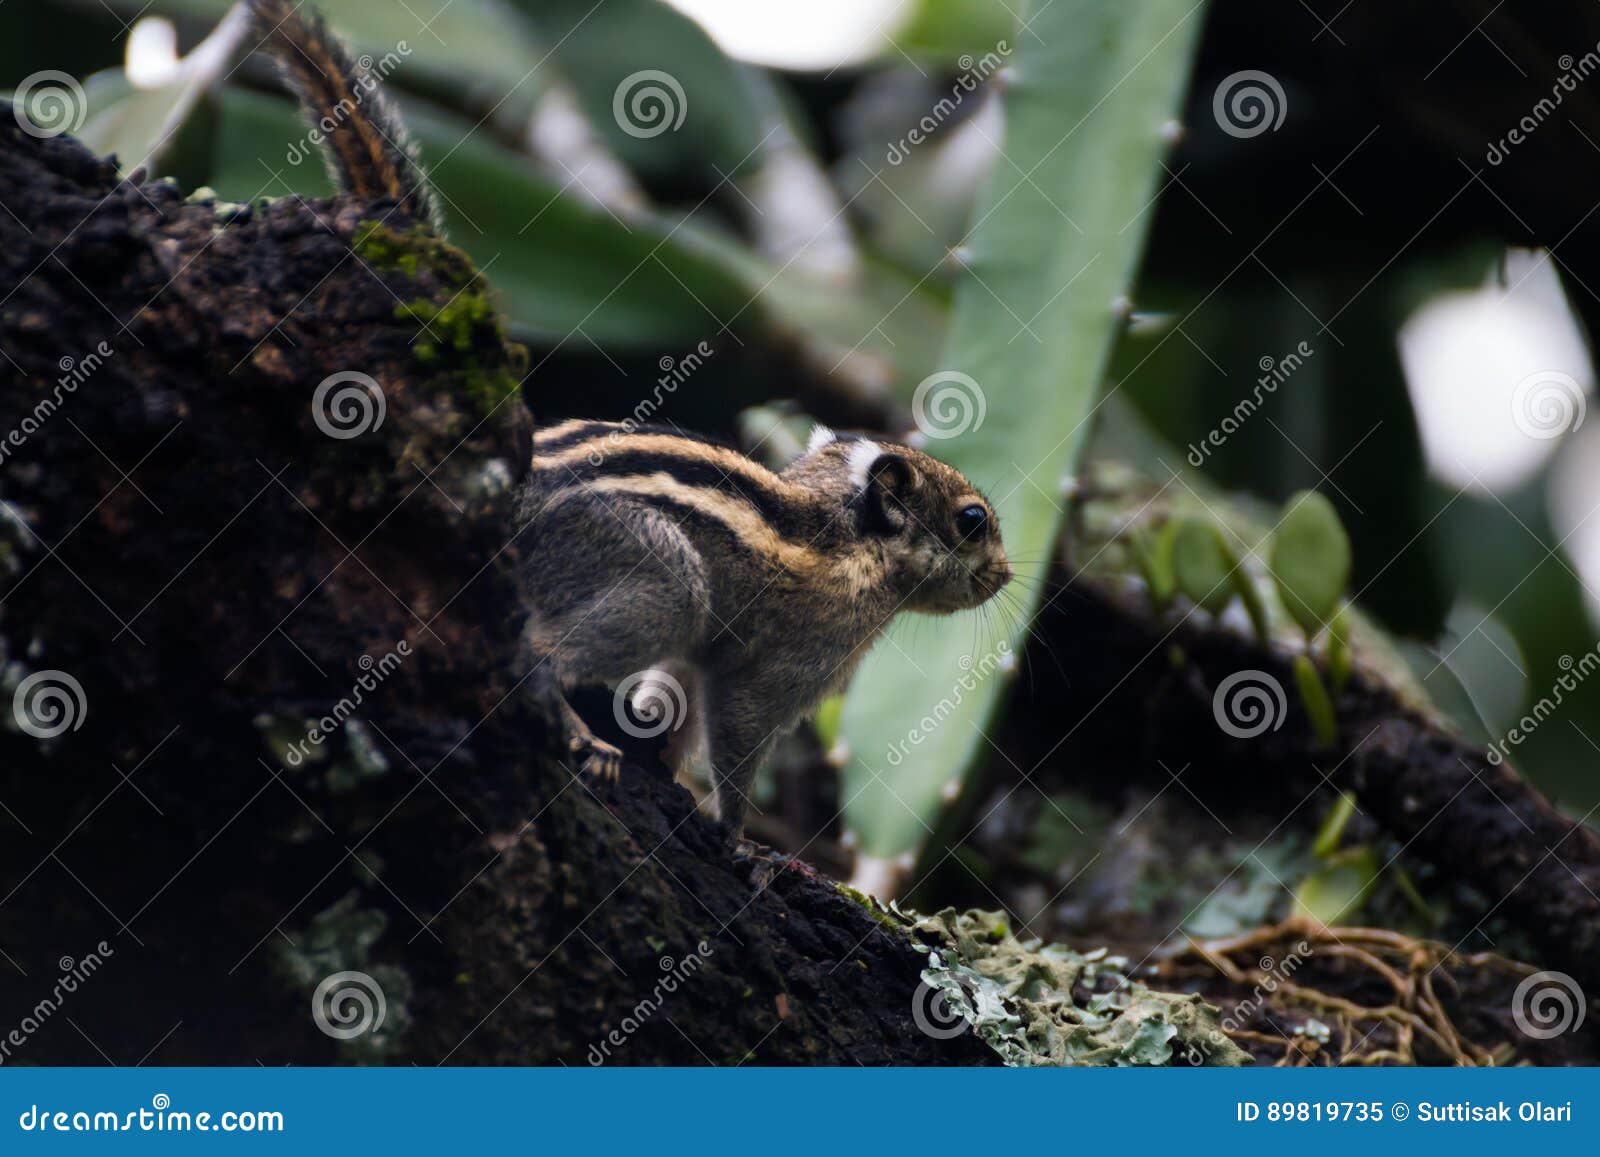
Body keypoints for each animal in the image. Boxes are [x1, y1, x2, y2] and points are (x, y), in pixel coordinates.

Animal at [521, 420, 1012, 839]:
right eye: (972, 521)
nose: (1007, 575)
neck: (852, 539)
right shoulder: (791, 662)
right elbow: (741, 727)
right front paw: (736, 835)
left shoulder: (698, 659)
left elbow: (672, 710)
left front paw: (666, 762)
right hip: (667, 589)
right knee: (540, 657)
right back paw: (586, 737)